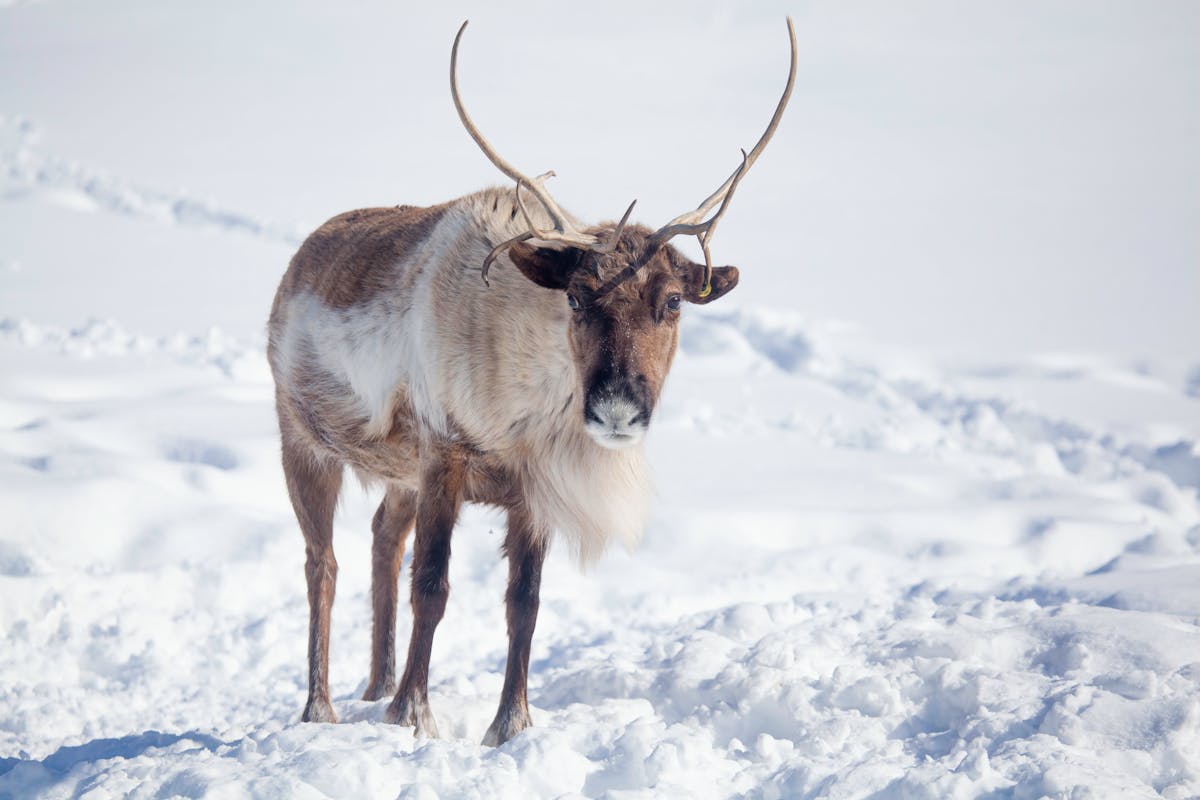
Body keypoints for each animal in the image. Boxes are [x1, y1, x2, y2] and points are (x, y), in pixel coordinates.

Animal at [266, 18, 796, 746]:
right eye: (575, 296)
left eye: (671, 302)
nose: (617, 407)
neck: (531, 405)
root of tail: (297, 263)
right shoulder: (444, 454)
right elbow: (433, 587)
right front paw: (415, 717)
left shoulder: (532, 490)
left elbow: (525, 603)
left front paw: (510, 724)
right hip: (302, 440)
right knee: (323, 565)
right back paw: (323, 708)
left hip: (395, 473)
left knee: (380, 539)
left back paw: (375, 687)